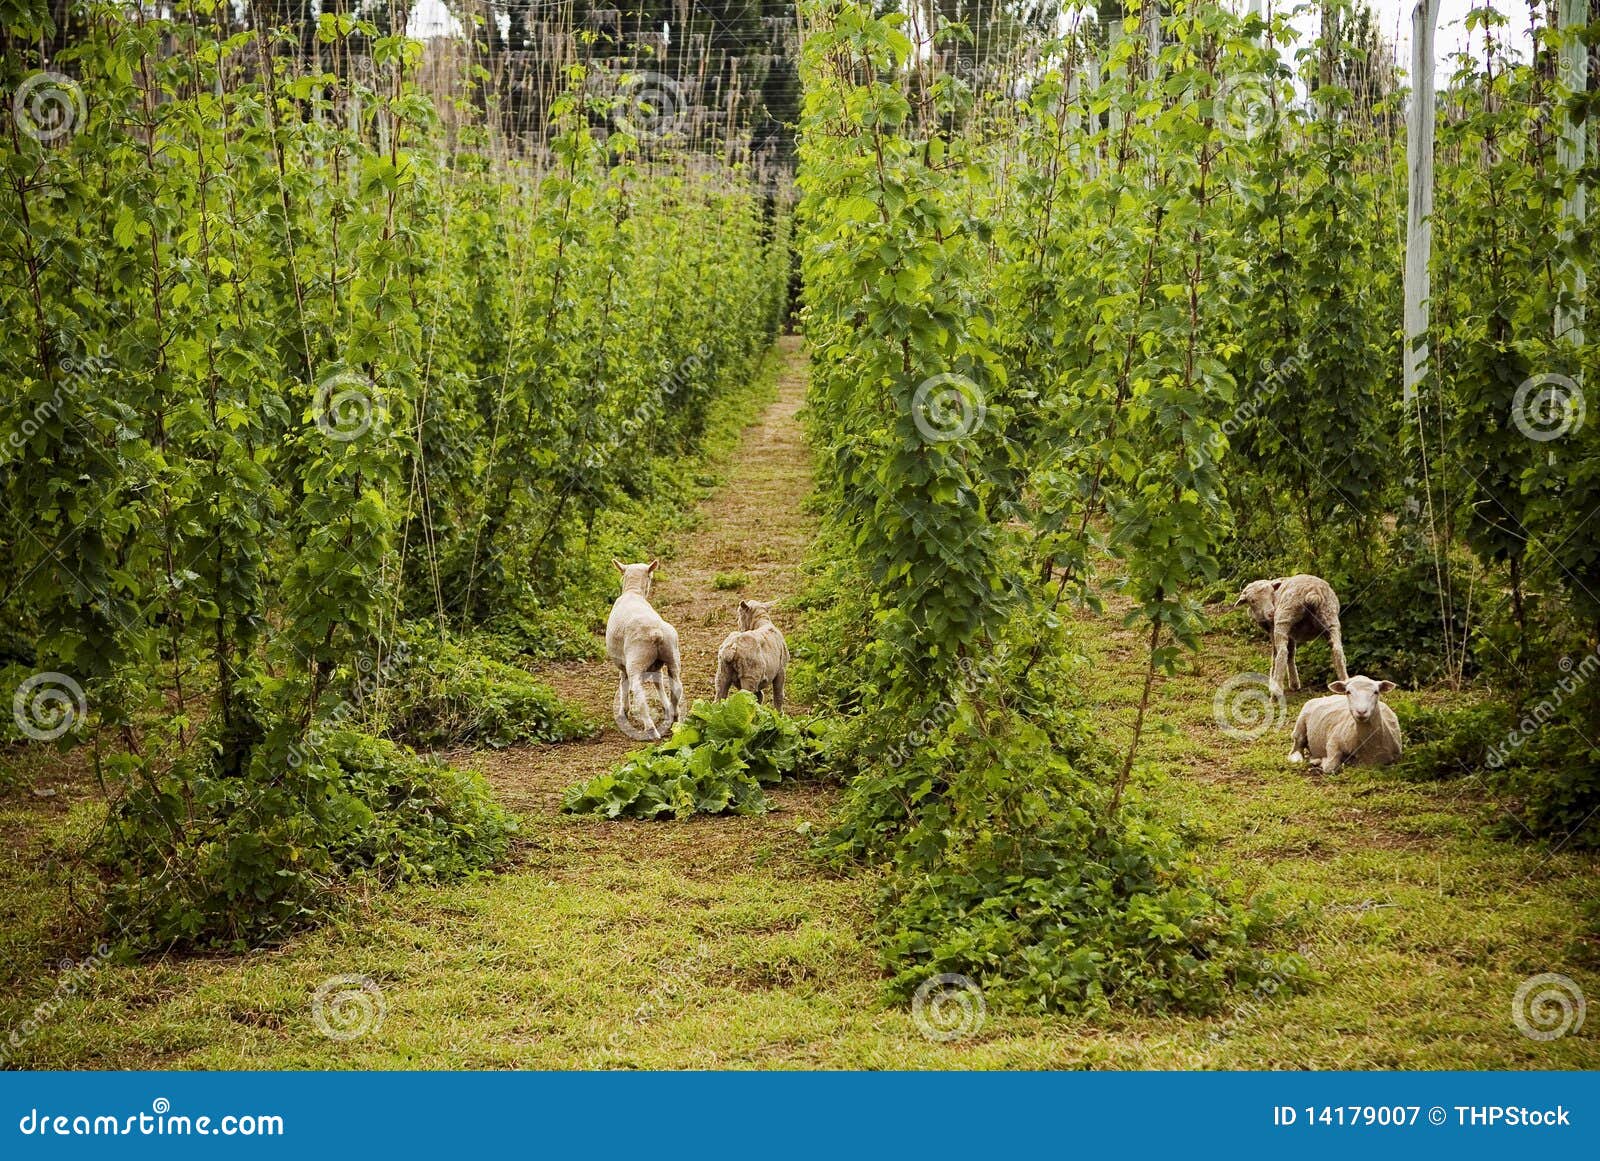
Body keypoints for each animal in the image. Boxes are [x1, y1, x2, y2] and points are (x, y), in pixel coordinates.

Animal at [605, 559, 685, 740]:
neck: (633, 592)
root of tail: (655, 632)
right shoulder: (657, 666)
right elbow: (659, 682)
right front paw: (666, 707)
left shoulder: (621, 662)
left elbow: (623, 681)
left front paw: (623, 711)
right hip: (672, 655)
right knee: (677, 686)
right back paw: (675, 717)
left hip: (636, 659)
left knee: (639, 693)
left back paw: (651, 730)